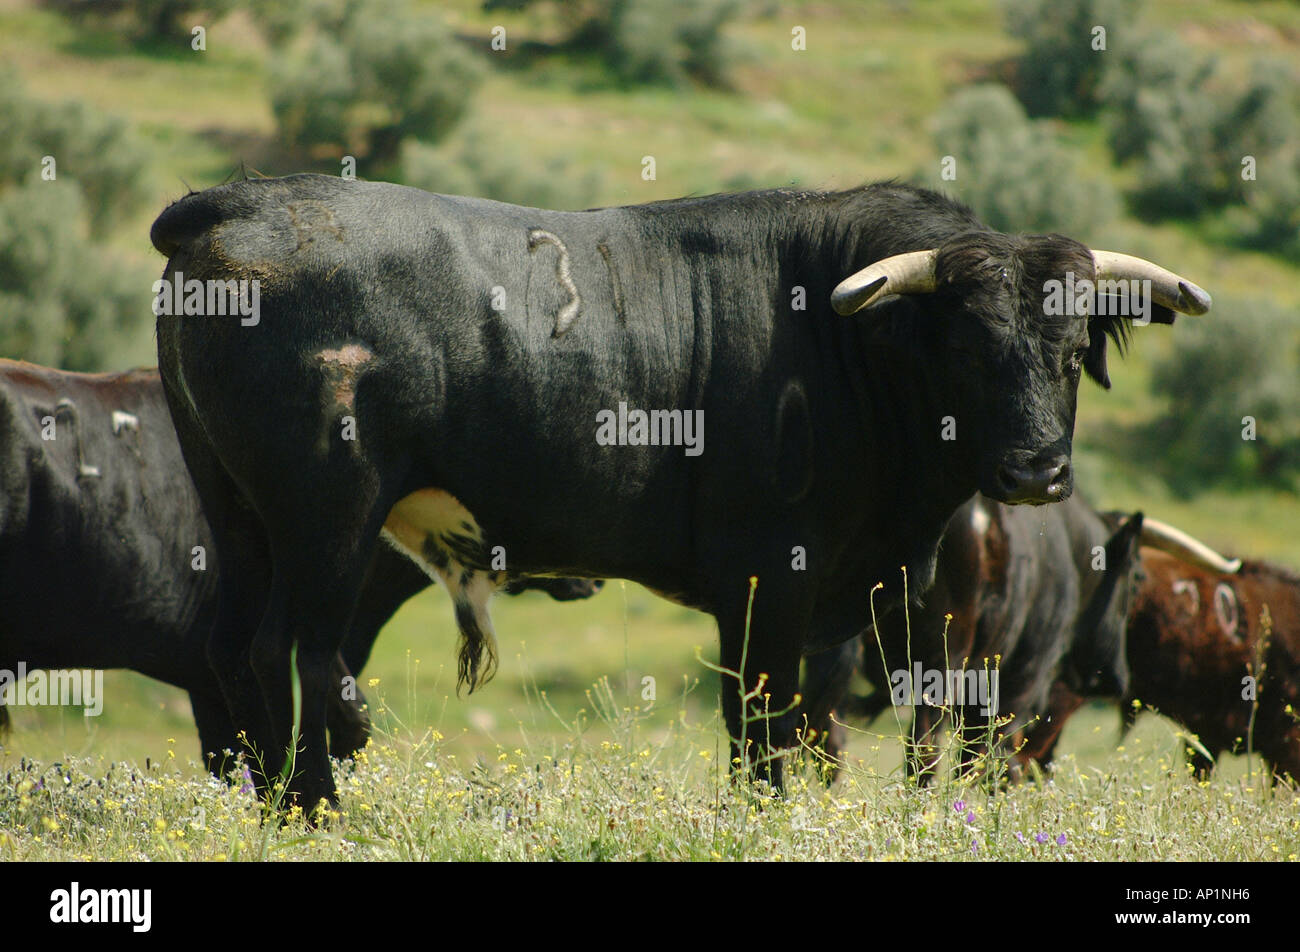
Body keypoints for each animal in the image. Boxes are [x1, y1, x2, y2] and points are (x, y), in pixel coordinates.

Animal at [800, 492, 1147, 783]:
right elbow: (993, 761)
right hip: (943, 659)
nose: (1118, 678)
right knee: (924, 749)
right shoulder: (1022, 675)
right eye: (1134, 581)